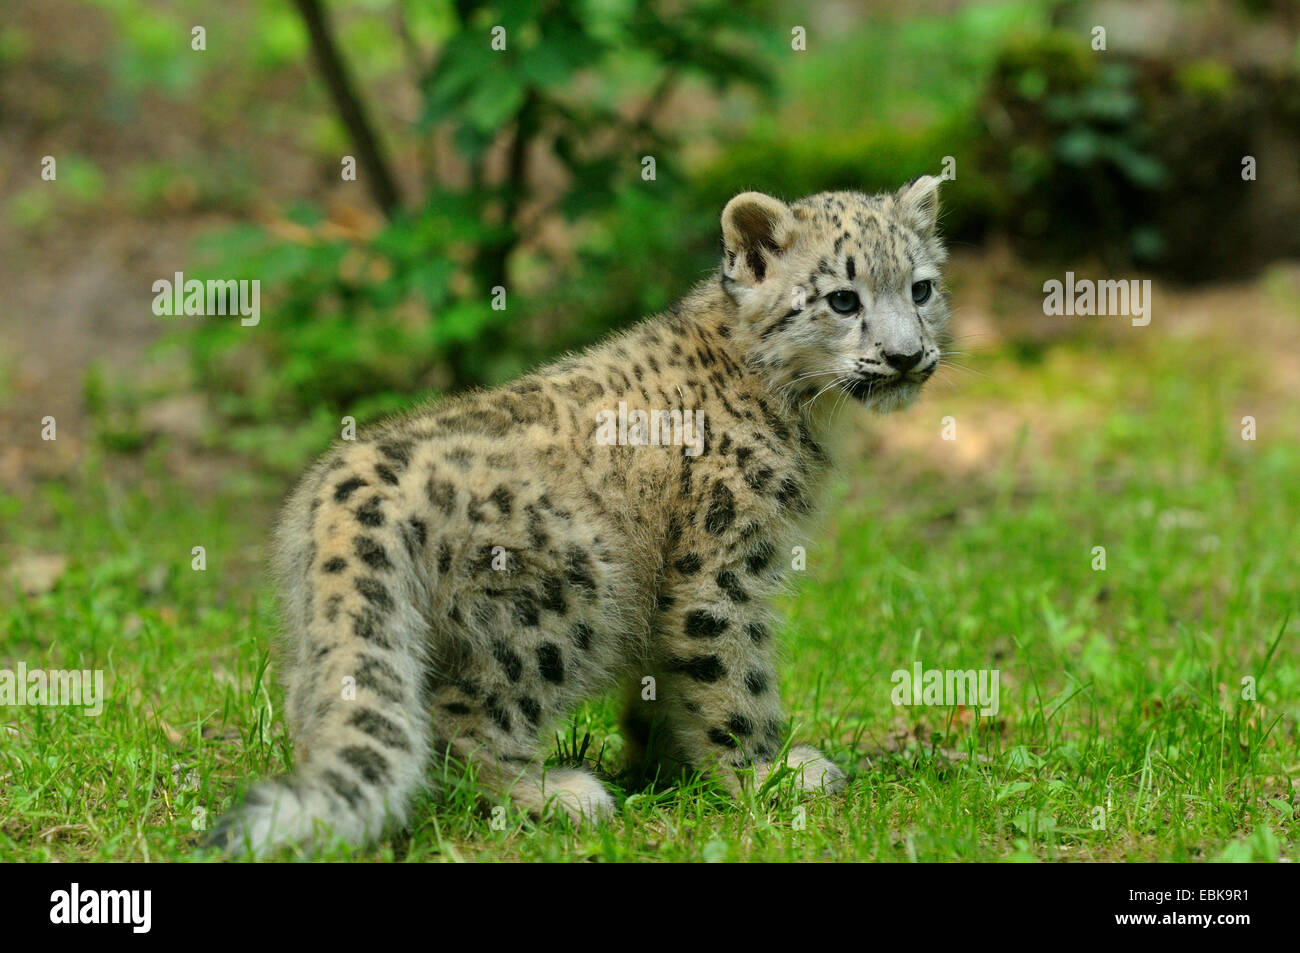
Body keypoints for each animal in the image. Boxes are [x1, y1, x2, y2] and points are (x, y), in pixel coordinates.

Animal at [208, 176, 950, 856]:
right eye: (843, 298)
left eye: (920, 288)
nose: (907, 356)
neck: (803, 417)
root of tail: (347, 490)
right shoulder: (721, 570)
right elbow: (732, 672)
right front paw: (766, 774)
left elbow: (666, 680)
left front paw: (664, 761)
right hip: (566, 591)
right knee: (461, 715)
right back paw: (552, 794)